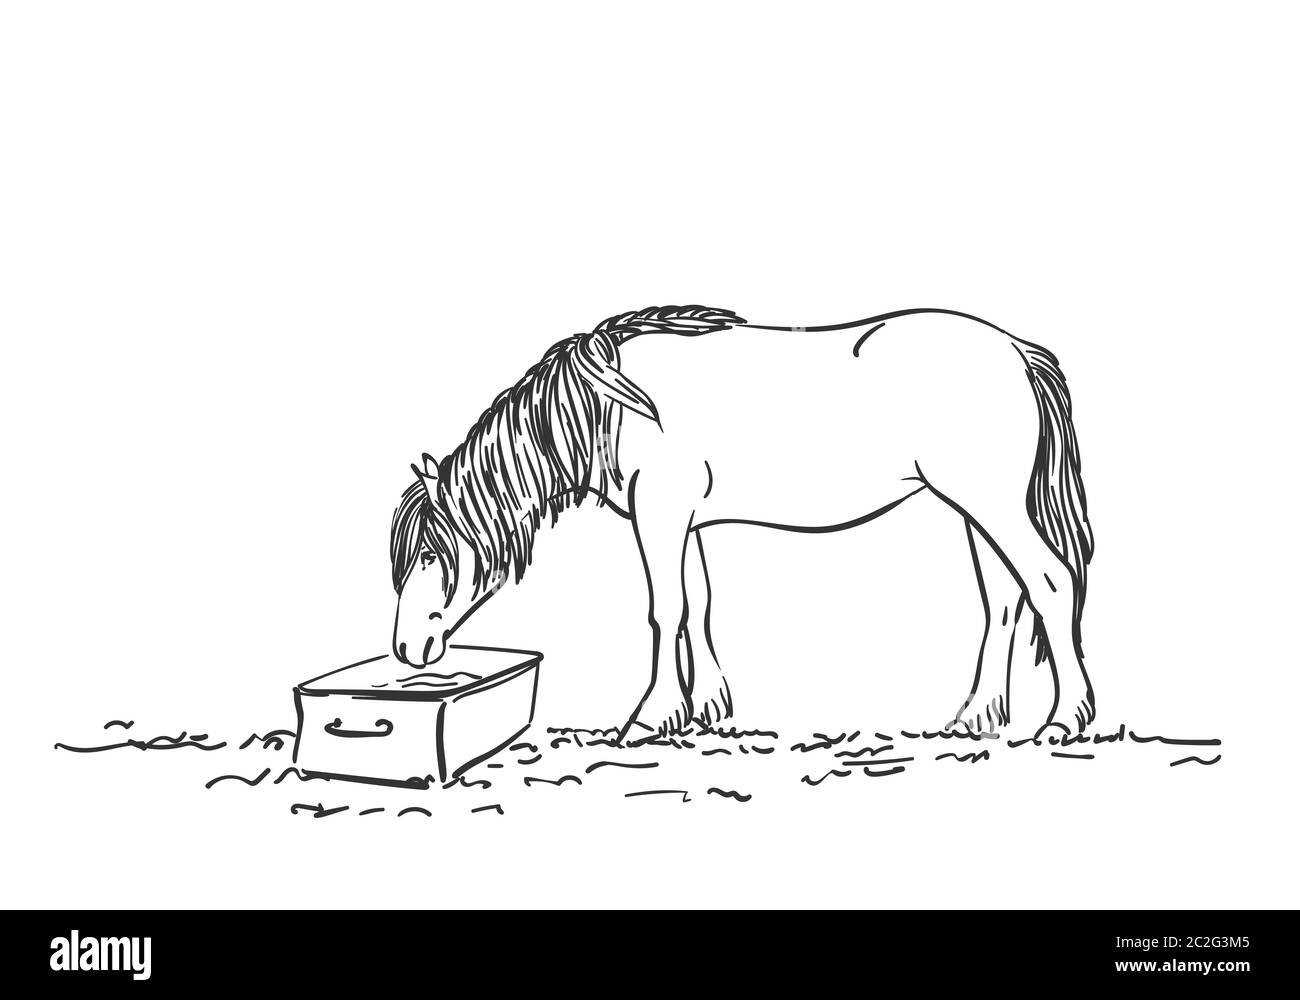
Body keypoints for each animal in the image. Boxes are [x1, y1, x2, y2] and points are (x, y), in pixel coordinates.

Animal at [389, 305, 1094, 741]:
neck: (615, 405)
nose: (405, 649)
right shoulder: (687, 522)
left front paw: (650, 716)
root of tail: (1015, 350)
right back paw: (976, 717)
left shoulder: (661, 511)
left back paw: (1064, 719)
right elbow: (696, 604)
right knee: (1004, 600)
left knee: (1050, 585)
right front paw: (704, 708)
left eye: (429, 554)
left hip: (990, 504)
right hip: (974, 507)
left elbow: (666, 609)